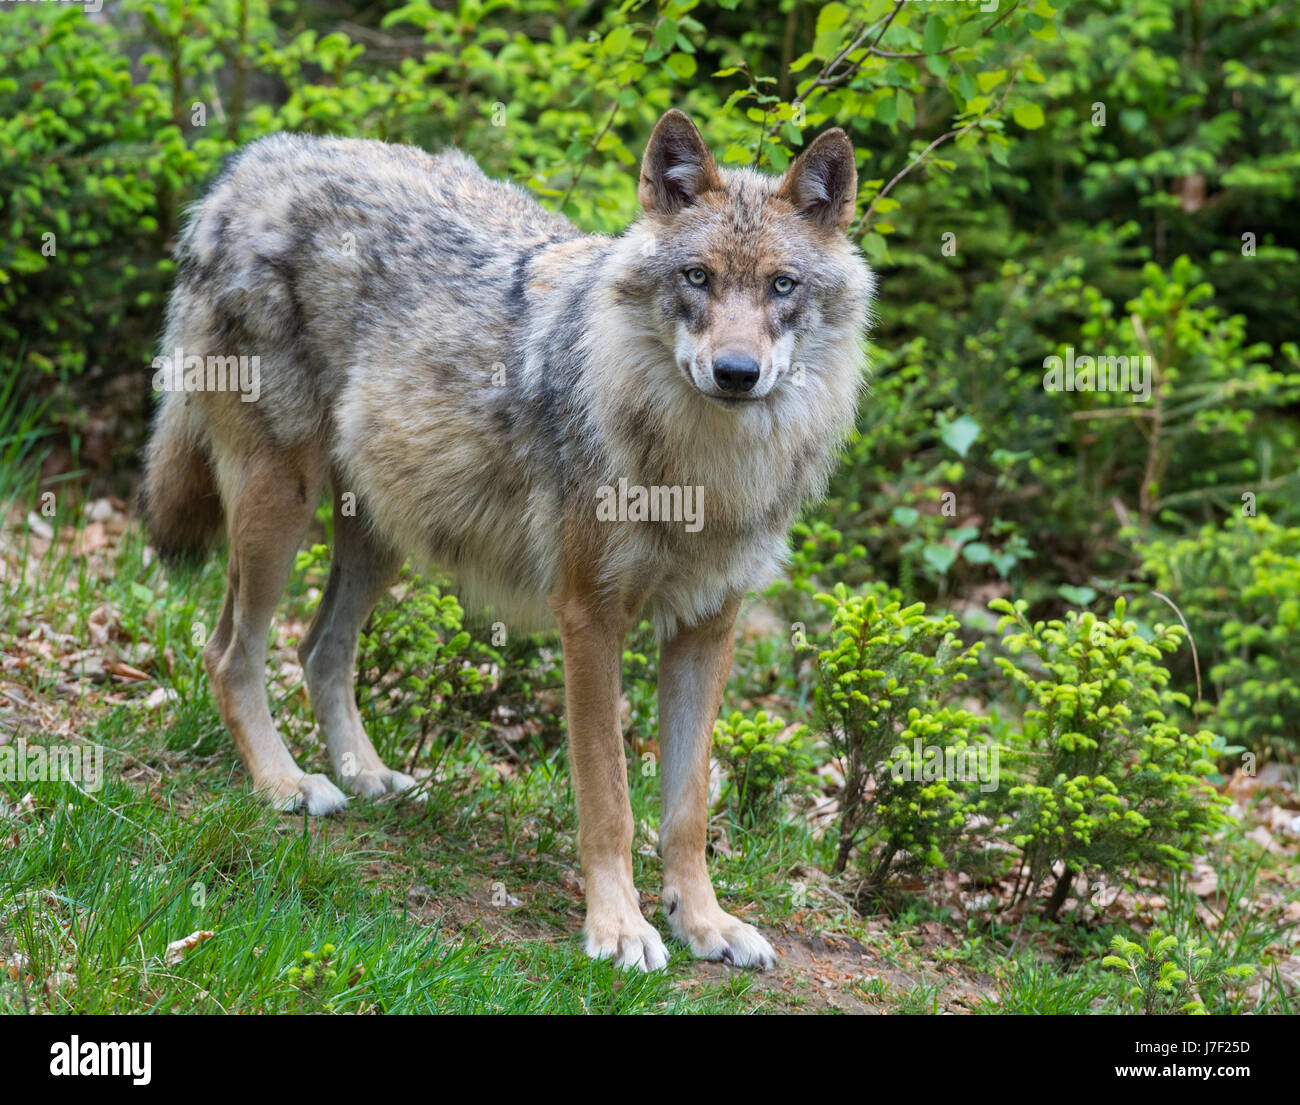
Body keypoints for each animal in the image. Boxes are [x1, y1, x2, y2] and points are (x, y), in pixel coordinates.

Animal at [141, 110, 874, 971]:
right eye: (697, 277)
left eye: (782, 286)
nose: (735, 371)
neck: (703, 471)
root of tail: (255, 160)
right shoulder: (589, 616)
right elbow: (610, 797)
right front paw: (619, 926)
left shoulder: (707, 626)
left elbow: (687, 808)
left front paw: (704, 922)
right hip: (277, 502)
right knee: (230, 651)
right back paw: (285, 784)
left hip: (385, 528)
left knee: (320, 648)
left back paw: (366, 774)